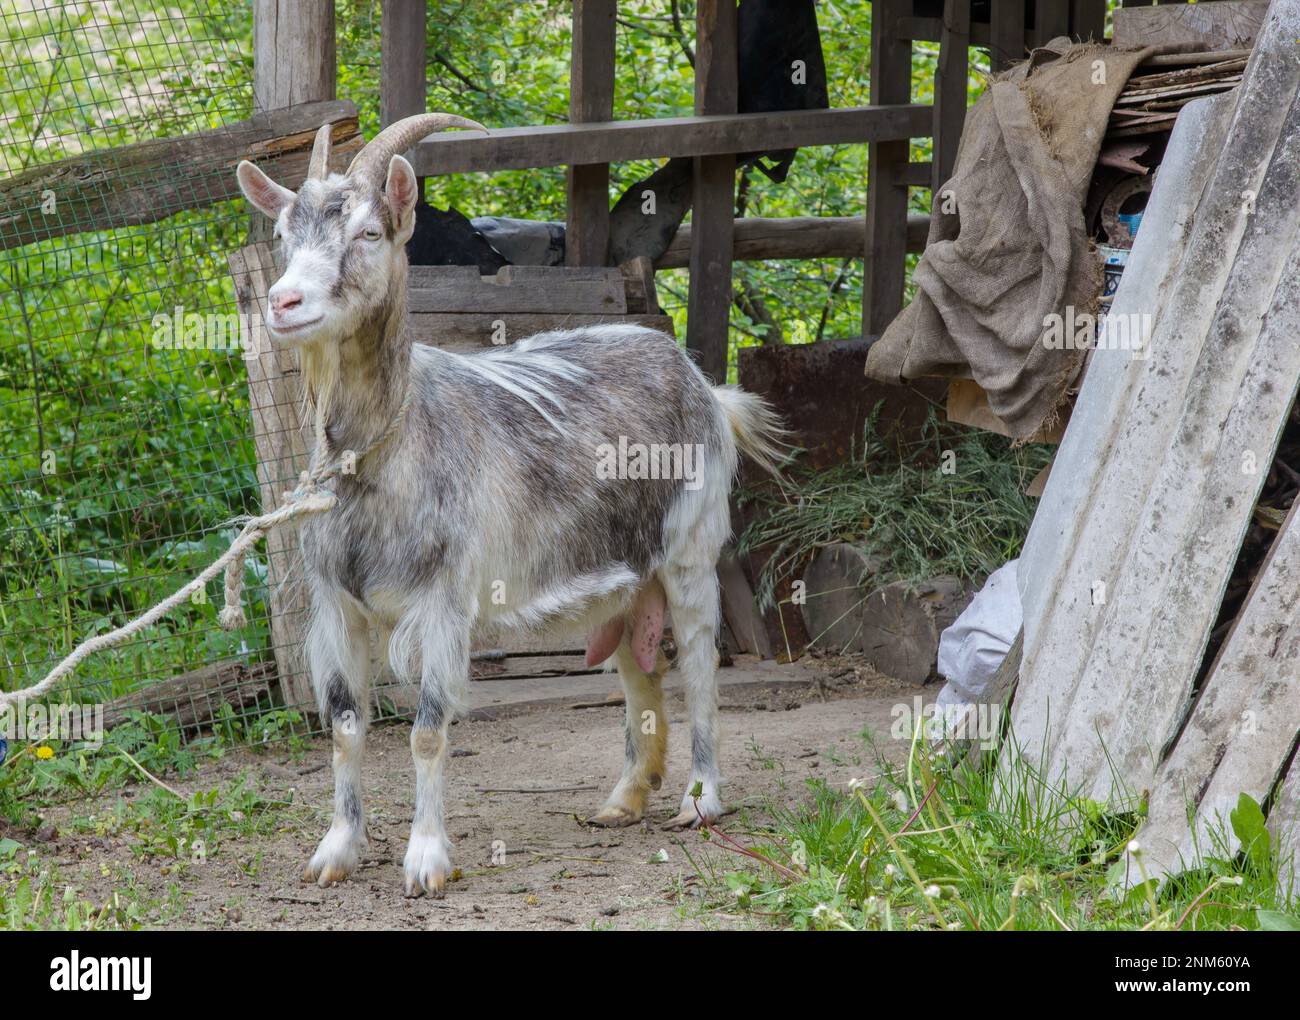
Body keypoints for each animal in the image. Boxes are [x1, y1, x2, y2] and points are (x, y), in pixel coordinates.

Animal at [235, 114, 785, 898]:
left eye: (370, 232)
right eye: (284, 233)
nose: (283, 304)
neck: (387, 453)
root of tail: (703, 383)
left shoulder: (443, 599)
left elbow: (428, 728)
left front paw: (426, 860)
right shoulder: (336, 605)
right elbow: (343, 724)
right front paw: (337, 850)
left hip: (689, 549)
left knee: (702, 664)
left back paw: (700, 801)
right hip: (623, 574)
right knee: (639, 666)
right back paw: (624, 799)